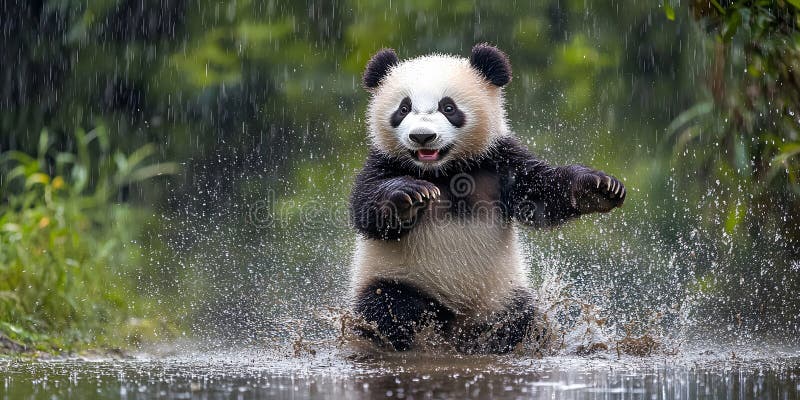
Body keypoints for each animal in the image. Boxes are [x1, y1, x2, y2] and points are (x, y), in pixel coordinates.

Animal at [349, 43, 626, 354]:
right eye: (403, 108)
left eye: (448, 107)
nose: (422, 136)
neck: (442, 170)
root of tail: (457, 321)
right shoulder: (382, 163)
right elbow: (367, 211)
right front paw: (410, 195)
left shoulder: (500, 162)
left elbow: (543, 194)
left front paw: (598, 188)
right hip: (400, 275)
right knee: (387, 307)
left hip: (499, 295)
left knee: (521, 321)